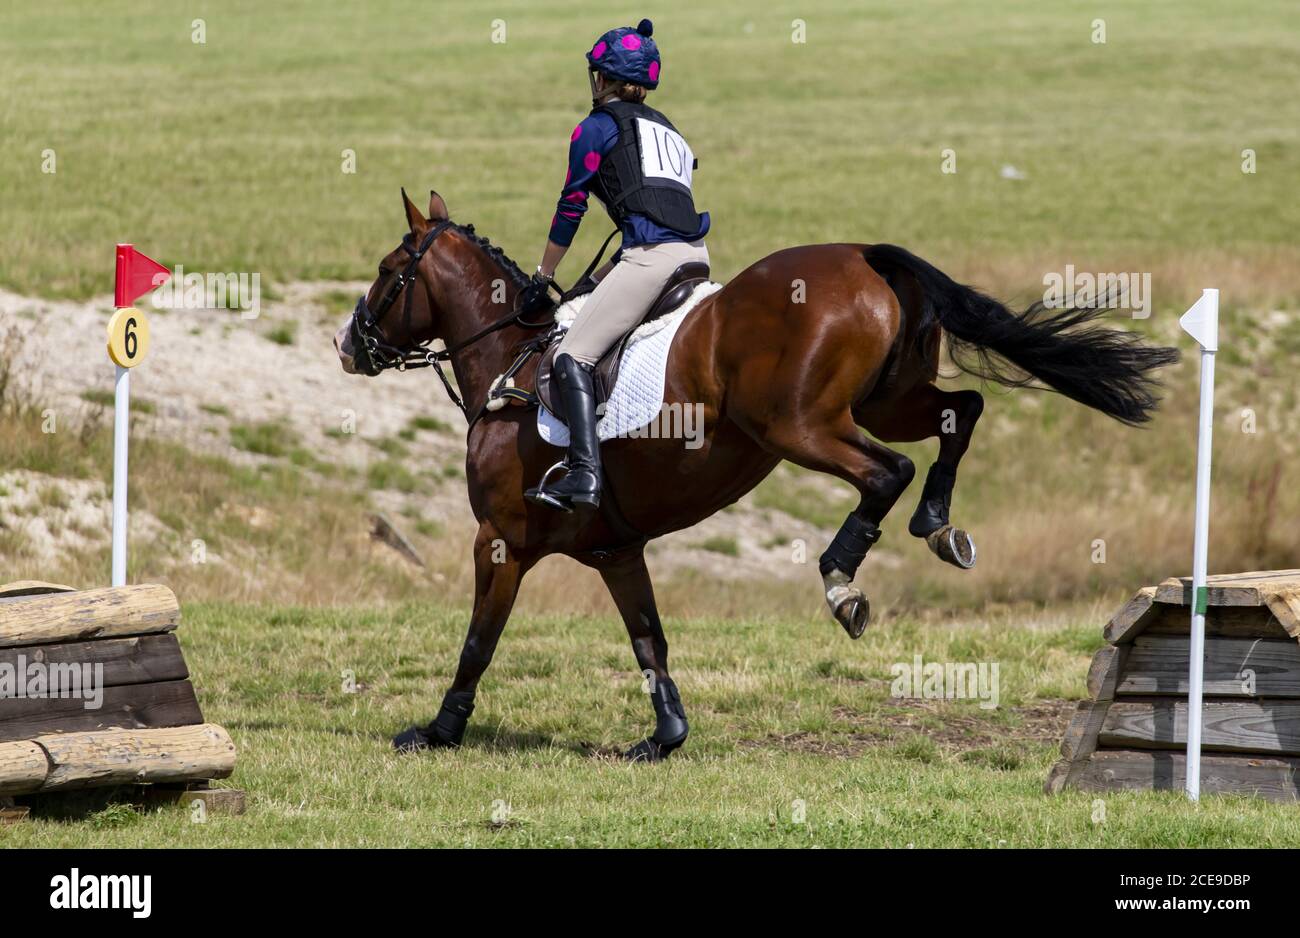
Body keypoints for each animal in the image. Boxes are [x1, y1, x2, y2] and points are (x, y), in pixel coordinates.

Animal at [335, 188, 1178, 761]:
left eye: (386, 271)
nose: (350, 343)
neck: (509, 360)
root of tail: (862, 255)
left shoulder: (500, 539)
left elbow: (479, 640)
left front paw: (440, 729)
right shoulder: (616, 551)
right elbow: (649, 639)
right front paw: (666, 736)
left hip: (799, 426)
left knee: (889, 470)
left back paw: (844, 580)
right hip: (888, 397)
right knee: (960, 412)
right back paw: (939, 528)